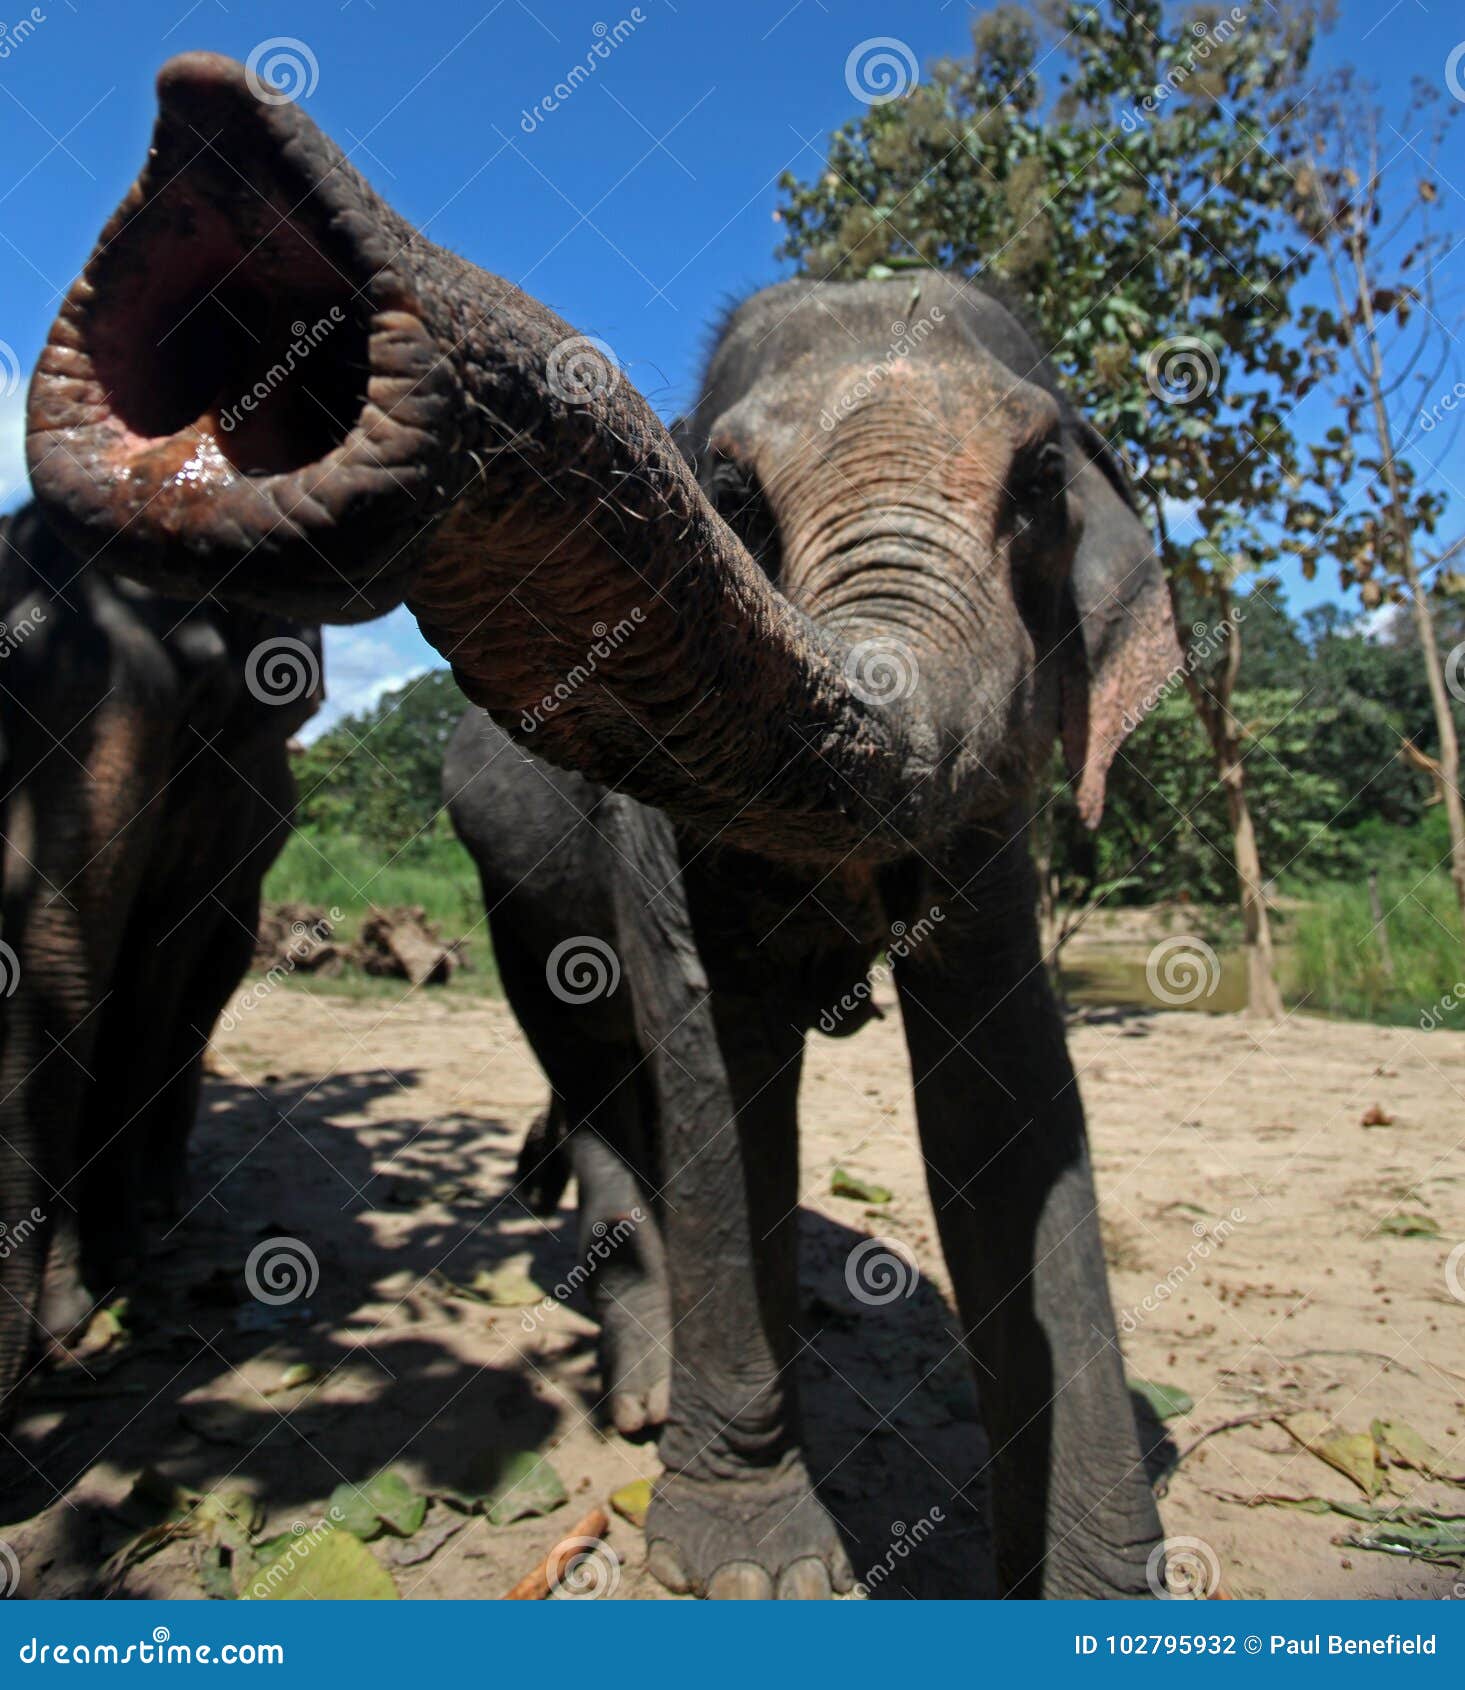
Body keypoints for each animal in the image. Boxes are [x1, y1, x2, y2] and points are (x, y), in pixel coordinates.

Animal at [0, 500, 321, 1416]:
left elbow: (150, 974)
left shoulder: (218, 804)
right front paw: (73, 1307)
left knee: (198, 996)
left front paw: (106, 1276)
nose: (49, 1336)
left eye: (202, 692)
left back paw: (167, 1204)